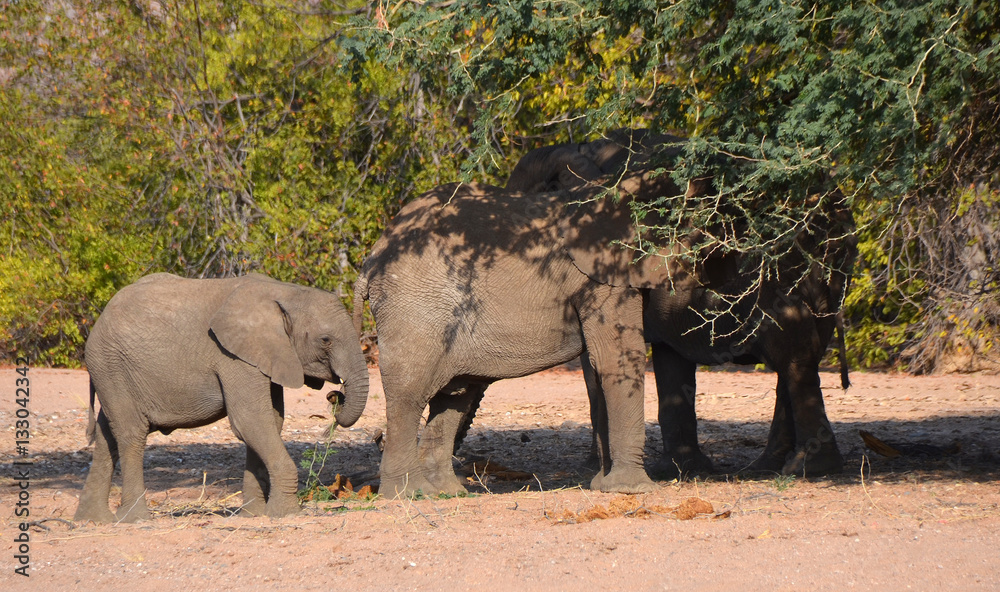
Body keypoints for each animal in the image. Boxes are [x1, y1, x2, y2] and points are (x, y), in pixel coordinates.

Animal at [74, 272, 369, 523]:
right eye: (326, 339)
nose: (335, 396)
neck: (285, 292)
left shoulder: (266, 355)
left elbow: (270, 423)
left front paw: (253, 515)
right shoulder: (233, 357)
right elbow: (250, 421)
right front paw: (284, 514)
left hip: (112, 370)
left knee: (107, 436)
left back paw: (93, 520)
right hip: (111, 365)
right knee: (131, 433)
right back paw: (134, 520)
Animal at [354, 176, 695, 498]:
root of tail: (370, 260)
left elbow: (602, 362)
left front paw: (603, 485)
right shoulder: (604, 278)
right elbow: (617, 358)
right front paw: (632, 490)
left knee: (456, 394)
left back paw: (446, 492)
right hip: (414, 308)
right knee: (409, 393)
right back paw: (408, 493)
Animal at [501, 129, 857, 477]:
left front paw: (593, 472)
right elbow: (670, 361)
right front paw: (679, 471)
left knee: (792, 352)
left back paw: (806, 469)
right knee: (797, 355)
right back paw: (768, 467)